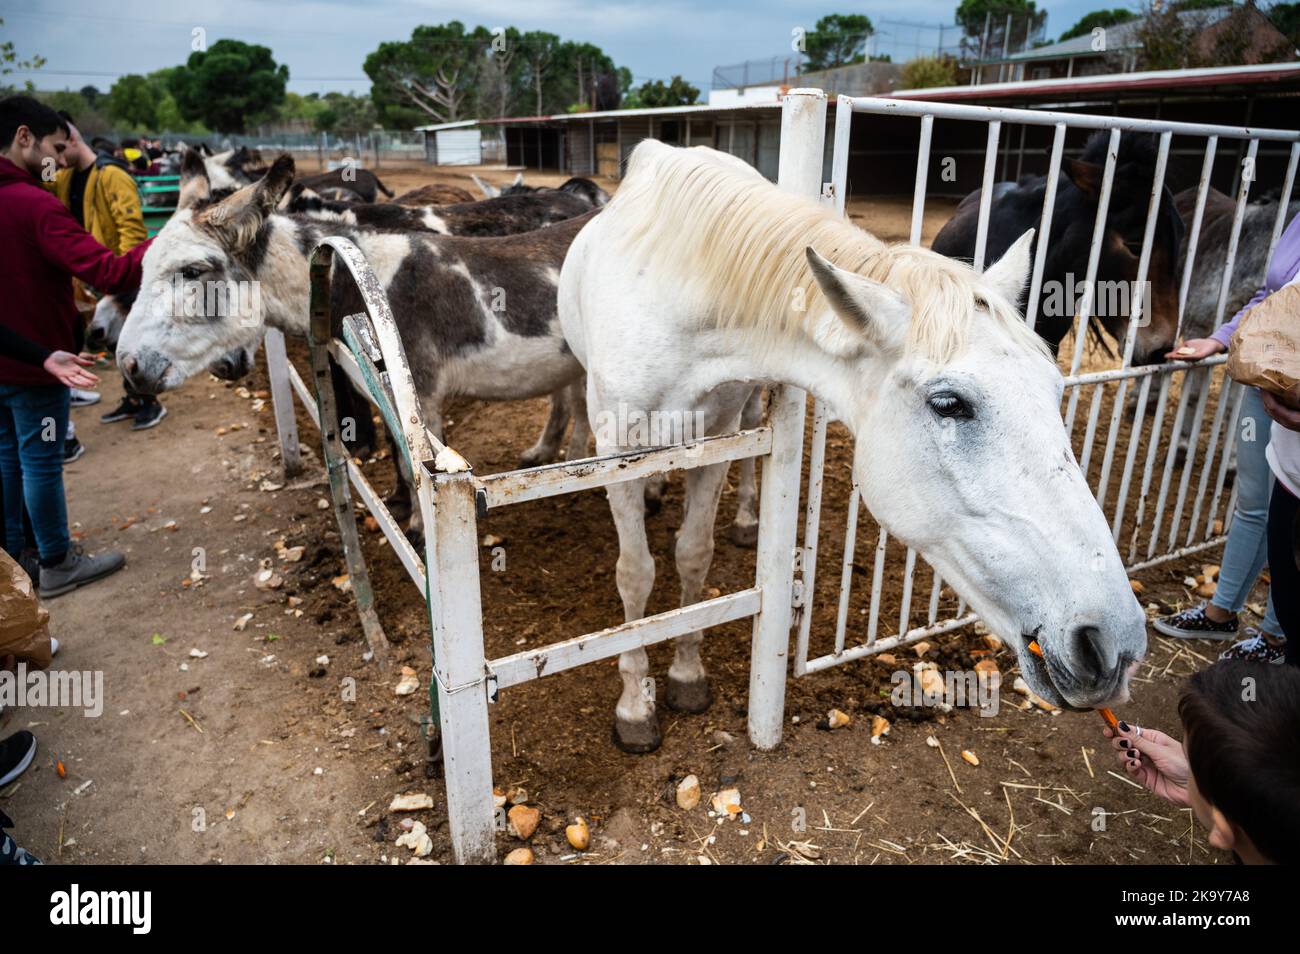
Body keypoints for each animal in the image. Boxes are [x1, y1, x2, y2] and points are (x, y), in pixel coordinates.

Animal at [559, 140, 1147, 752]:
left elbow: (693, 556)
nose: (1113, 645)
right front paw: (635, 705)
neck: (680, 291)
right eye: (949, 403)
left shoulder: (718, 440)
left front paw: (686, 675)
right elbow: (636, 575)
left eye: (1055, 388)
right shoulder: (617, 450)